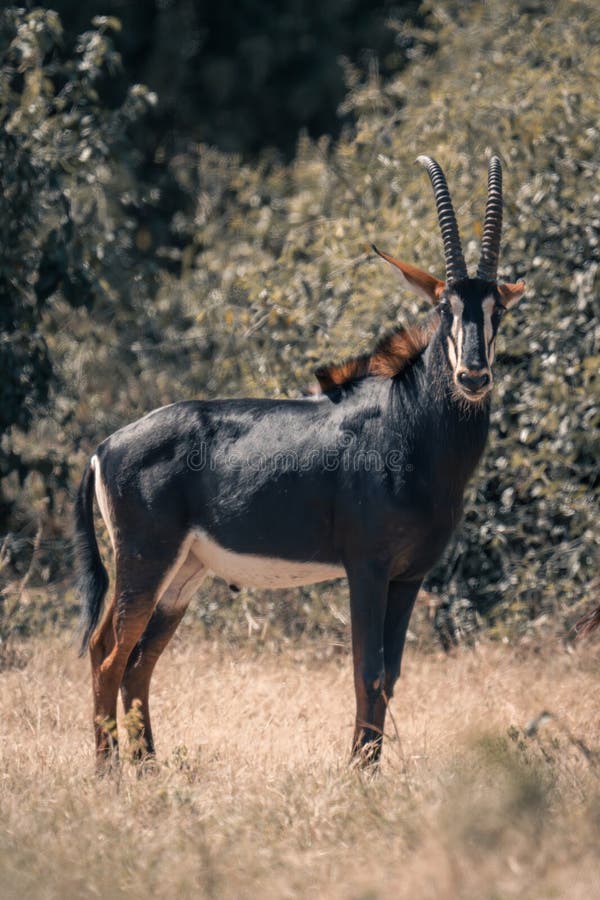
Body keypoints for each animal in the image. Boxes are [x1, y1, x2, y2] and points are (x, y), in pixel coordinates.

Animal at [75, 155, 525, 769]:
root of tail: (105, 446)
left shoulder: (409, 576)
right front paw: (357, 772)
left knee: (139, 661)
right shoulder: (367, 568)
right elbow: (368, 672)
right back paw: (109, 771)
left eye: (496, 307)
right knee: (106, 653)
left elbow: (392, 676)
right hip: (145, 561)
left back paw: (147, 768)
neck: (410, 425)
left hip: (182, 576)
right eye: (443, 306)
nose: (473, 376)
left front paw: (370, 768)